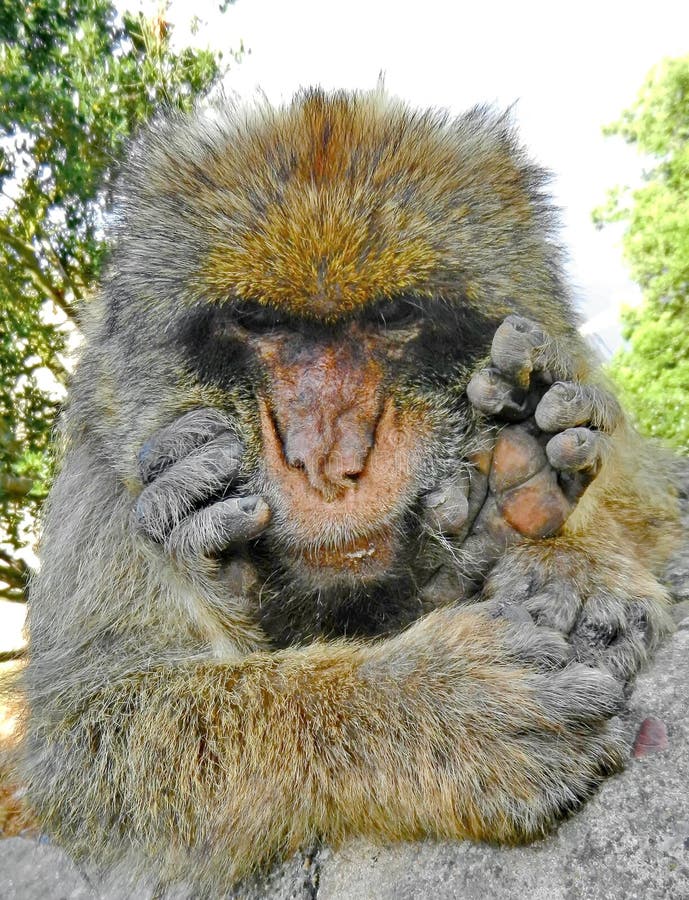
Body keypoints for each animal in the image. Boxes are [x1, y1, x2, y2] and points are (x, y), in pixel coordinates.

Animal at [14, 89, 680, 896]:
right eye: (257, 320)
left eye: (393, 316)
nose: (328, 457)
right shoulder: (108, 483)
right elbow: (88, 729)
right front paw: (435, 706)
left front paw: (567, 551)